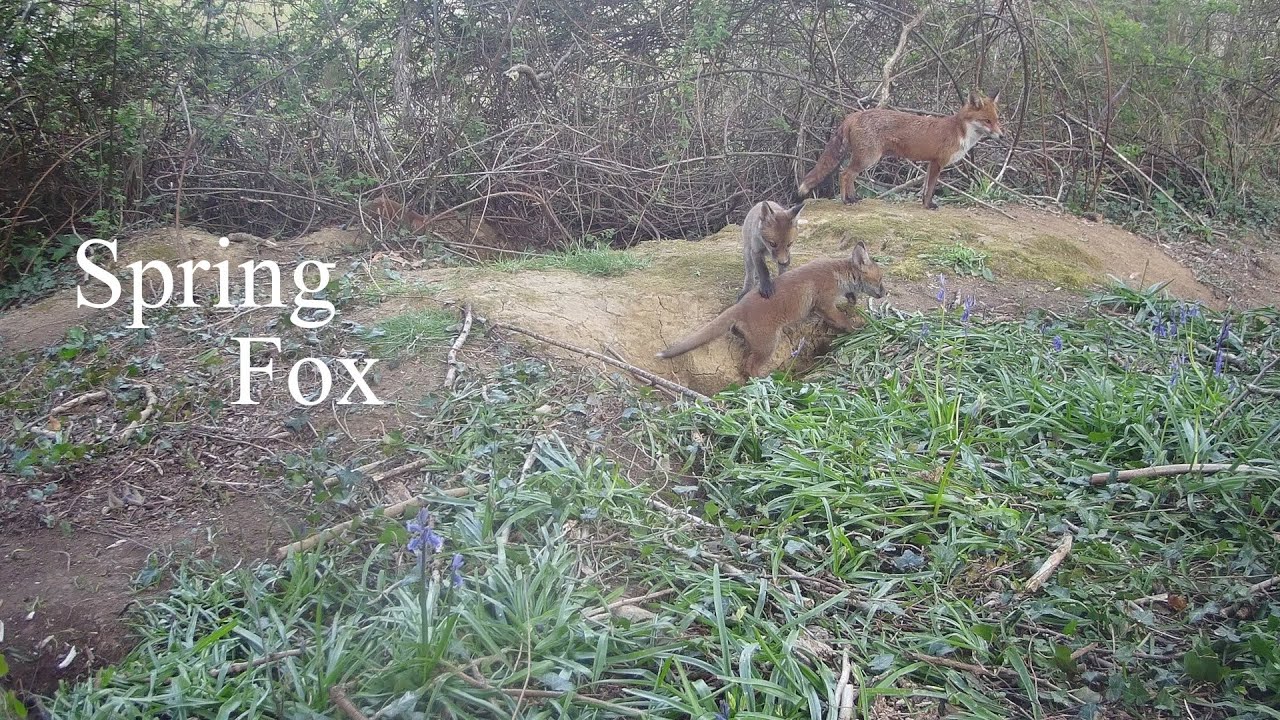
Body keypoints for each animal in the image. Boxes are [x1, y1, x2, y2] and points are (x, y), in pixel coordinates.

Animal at [657, 241, 886, 379]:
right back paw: (764, 382)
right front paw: (857, 330)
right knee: (749, 367)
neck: (837, 273)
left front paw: (852, 301)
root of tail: (739, 306)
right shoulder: (824, 304)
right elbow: (842, 320)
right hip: (768, 346)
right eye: (881, 279)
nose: (885, 293)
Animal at [797, 90, 1003, 210]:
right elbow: (930, 189)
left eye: (997, 120)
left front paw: (924, 203)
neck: (960, 131)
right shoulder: (938, 162)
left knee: (849, 175)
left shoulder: (930, 163)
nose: (1002, 136)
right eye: (987, 121)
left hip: (864, 158)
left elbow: (924, 187)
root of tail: (854, 114)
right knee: (845, 173)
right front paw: (929, 205)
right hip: (868, 158)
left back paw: (854, 197)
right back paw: (846, 200)